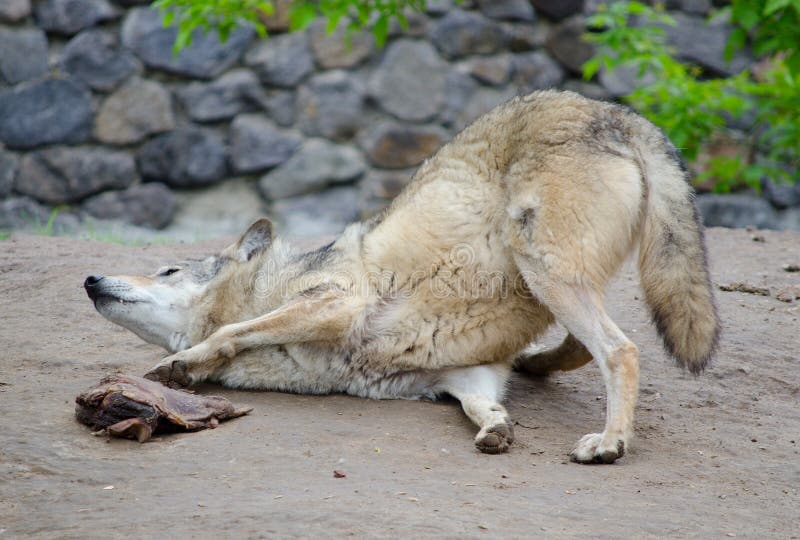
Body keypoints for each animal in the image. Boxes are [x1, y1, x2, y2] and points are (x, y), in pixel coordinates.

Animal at [84, 90, 719, 463]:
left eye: (167, 269)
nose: (90, 279)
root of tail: (617, 113)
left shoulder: (335, 302)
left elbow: (229, 331)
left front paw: (182, 365)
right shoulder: (463, 376)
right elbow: (480, 408)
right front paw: (496, 429)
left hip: (544, 271)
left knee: (621, 349)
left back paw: (610, 442)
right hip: (558, 284)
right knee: (583, 349)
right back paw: (541, 369)